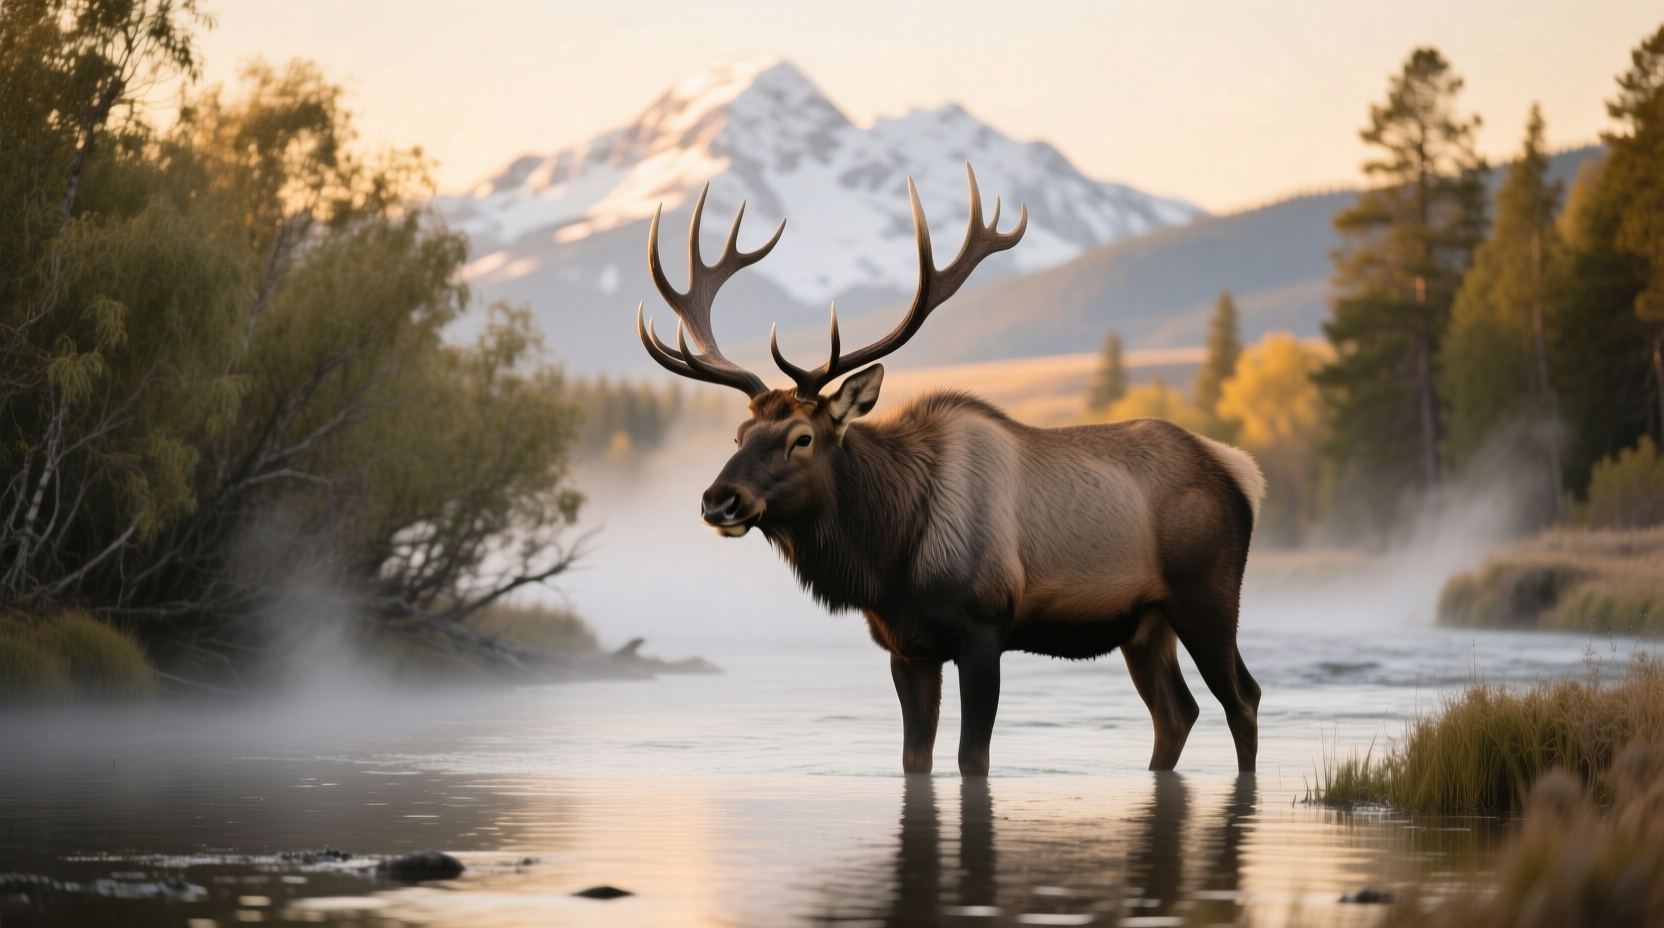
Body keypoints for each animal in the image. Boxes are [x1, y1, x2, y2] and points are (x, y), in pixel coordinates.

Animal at [635, 166, 1265, 776]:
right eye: (739, 436)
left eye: (802, 438)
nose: (719, 500)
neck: (889, 557)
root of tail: (1242, 471)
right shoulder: (905, 643)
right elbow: (914, 760)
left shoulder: (983, 628)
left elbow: (972, 759)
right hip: (1145, 623)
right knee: (1177, 712)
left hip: (1207, 597)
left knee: (1243, 697)